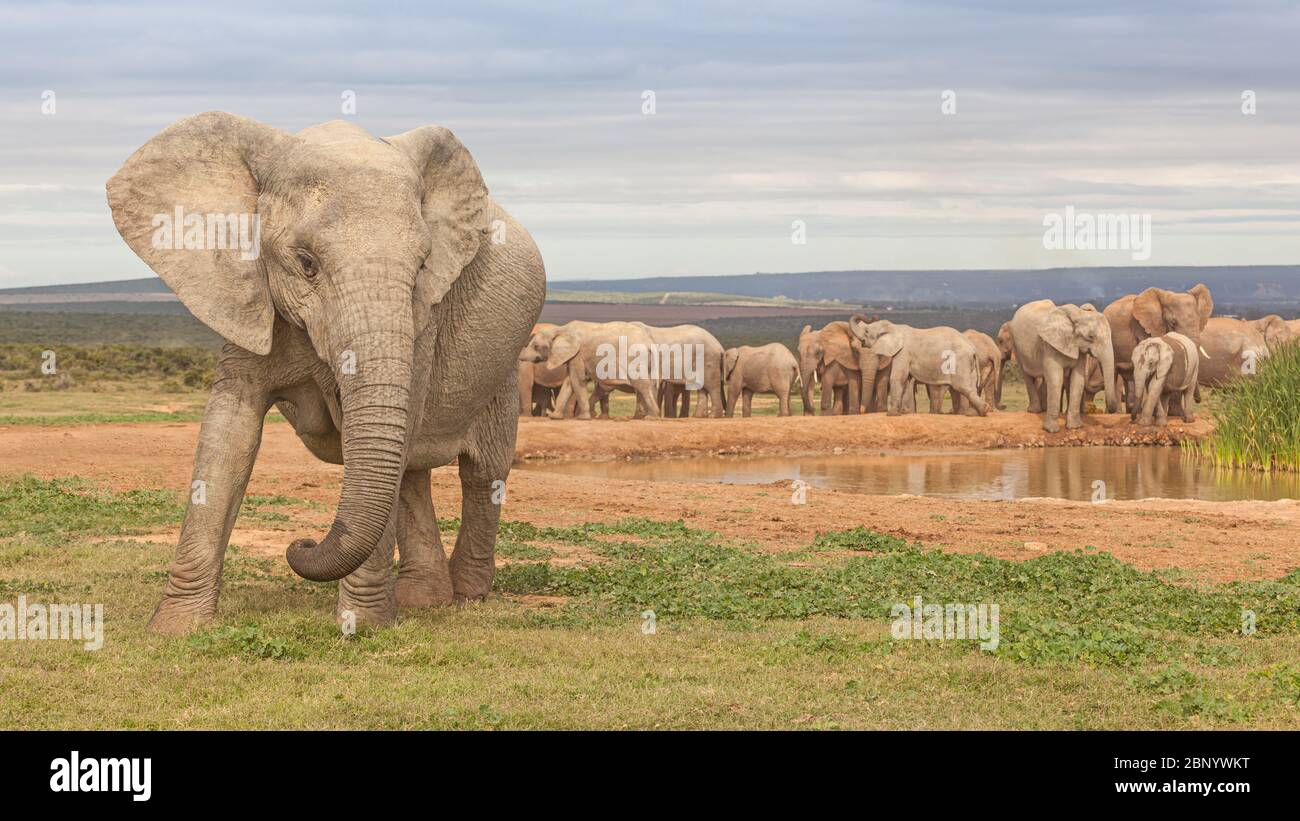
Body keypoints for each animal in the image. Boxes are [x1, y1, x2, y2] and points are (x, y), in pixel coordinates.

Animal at [106, 113, 546, 633]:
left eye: (422, 266)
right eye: (306, 263)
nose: (301, 543)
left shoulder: (424, 320)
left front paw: (363, 627)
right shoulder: (248, 295)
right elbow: (229, 434)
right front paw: (175, 629)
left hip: (506, 365)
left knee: (481, 472)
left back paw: (466, 597)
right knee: (411, 472)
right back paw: (424, 600)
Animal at [519, 320, 661, 419]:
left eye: (536, 346)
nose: (520, 357)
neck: (561, 329)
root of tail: (649, 343)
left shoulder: (578, 354)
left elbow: (577, 380)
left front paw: (582, 418)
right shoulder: (574, 356)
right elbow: (569, 381)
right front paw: (555, 417)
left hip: (634, 358)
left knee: (642, 384)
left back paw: (651, 417)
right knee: (648, 384)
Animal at [847, 317, 988, 416]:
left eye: (867, 331)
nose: (865, 316)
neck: (894, 327)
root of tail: (972, 349)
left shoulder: (903, 352)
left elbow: (898, 377)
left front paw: (891, 414)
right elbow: (905, 381)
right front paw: (902, 413)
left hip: (959, 361)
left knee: (963, 386)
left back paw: (984, 410)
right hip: (969, 364)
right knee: (971, 386)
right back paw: (974, 414)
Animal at [1007, 300, 1117, 432]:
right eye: (1091, 336)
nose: (1111, 411)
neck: (1079, 314)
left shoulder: (1078, 349)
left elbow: (1077, 380)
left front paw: (1075, 427)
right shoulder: (1050, 344)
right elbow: (1056, 379)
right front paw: (1051, 430)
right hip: (1016, 345)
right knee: (1026, 375)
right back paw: (1035, 411)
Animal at [1103, 284, 1212, 412]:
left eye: (1199, 320)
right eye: (1172, 322)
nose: (1198, 400)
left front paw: (1174, 414)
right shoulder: (1144, 330)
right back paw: (1113, 412)